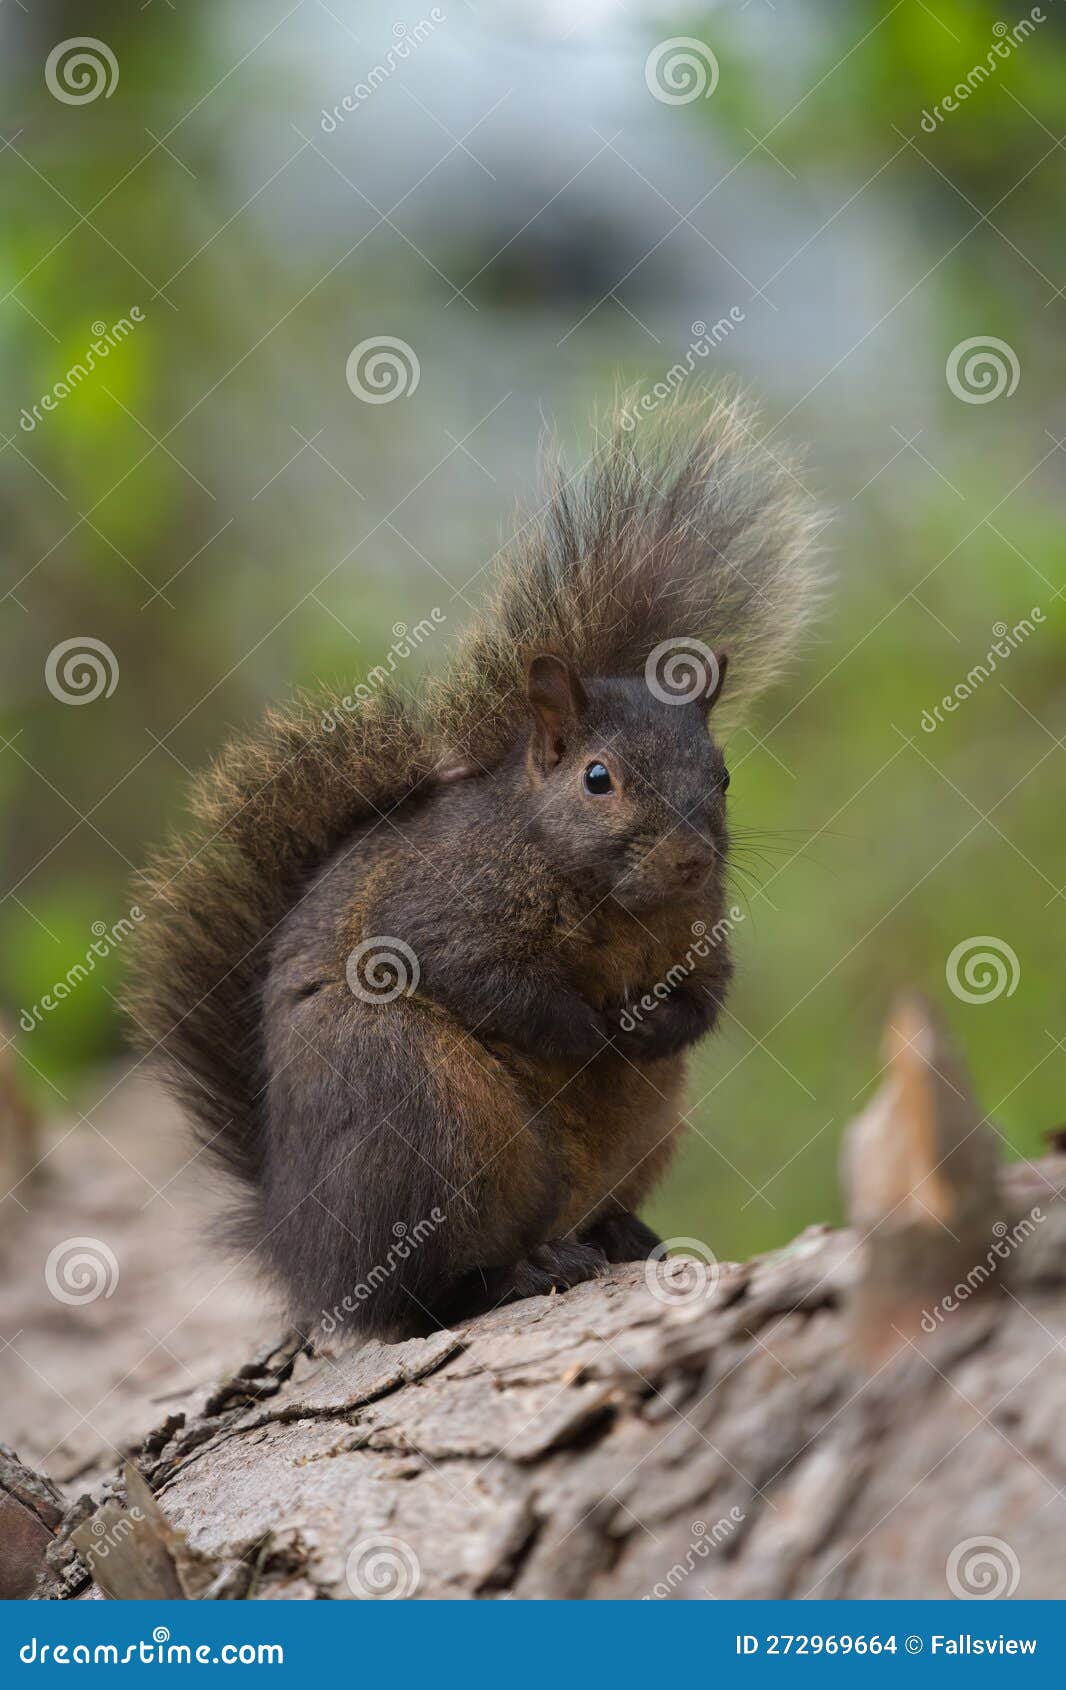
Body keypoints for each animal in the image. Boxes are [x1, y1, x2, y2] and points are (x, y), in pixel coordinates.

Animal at [127, 389, 823, 1342]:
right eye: (597, 778)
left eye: (721, 777)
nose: (689, 859)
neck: (610, 897)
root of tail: (300, 1242)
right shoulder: (436, 912)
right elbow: (491, 984)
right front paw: (590, 1031)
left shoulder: (701, 932)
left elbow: (707, 997)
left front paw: (648, 1026)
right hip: (419, 1112)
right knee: (417, 1293)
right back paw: (513, 1273)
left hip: (641, 1130)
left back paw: (621, 1233)